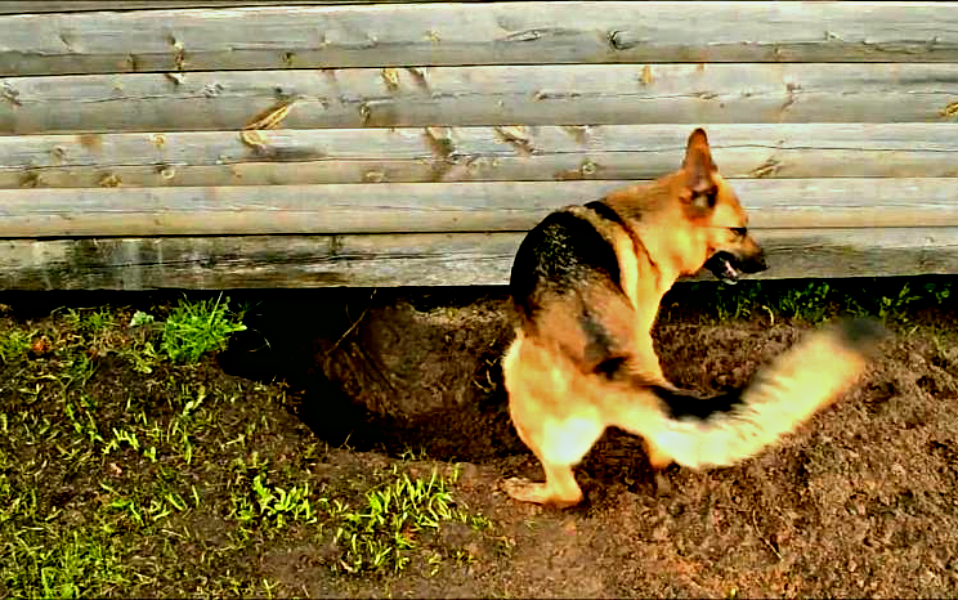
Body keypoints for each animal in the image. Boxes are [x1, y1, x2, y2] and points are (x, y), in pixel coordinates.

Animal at [506, 127, 888, 506]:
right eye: (739, 230)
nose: (766, 264)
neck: (637, 230)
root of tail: (603, 360)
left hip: (513, 368)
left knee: (569, 493)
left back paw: (529, 490)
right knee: (659, 449)